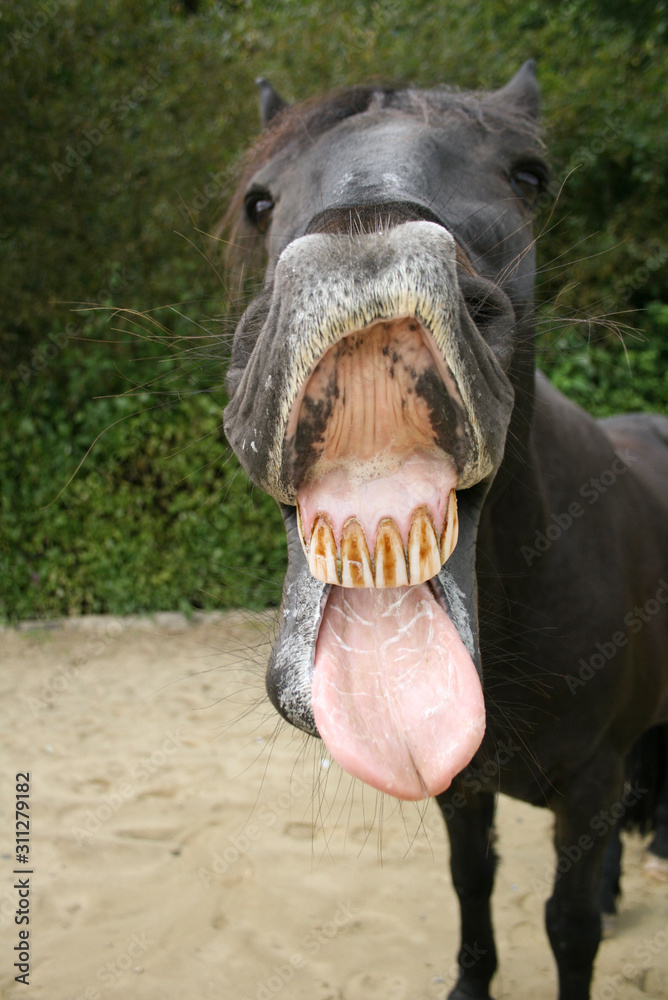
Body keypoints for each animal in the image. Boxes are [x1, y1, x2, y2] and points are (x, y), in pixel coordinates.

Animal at [221, 62, 668, 1000]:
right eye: (257, 199)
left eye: (528, 174)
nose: (363, 249)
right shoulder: (465, 789)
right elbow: (473, 884)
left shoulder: (589, 783)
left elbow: (568, 928)